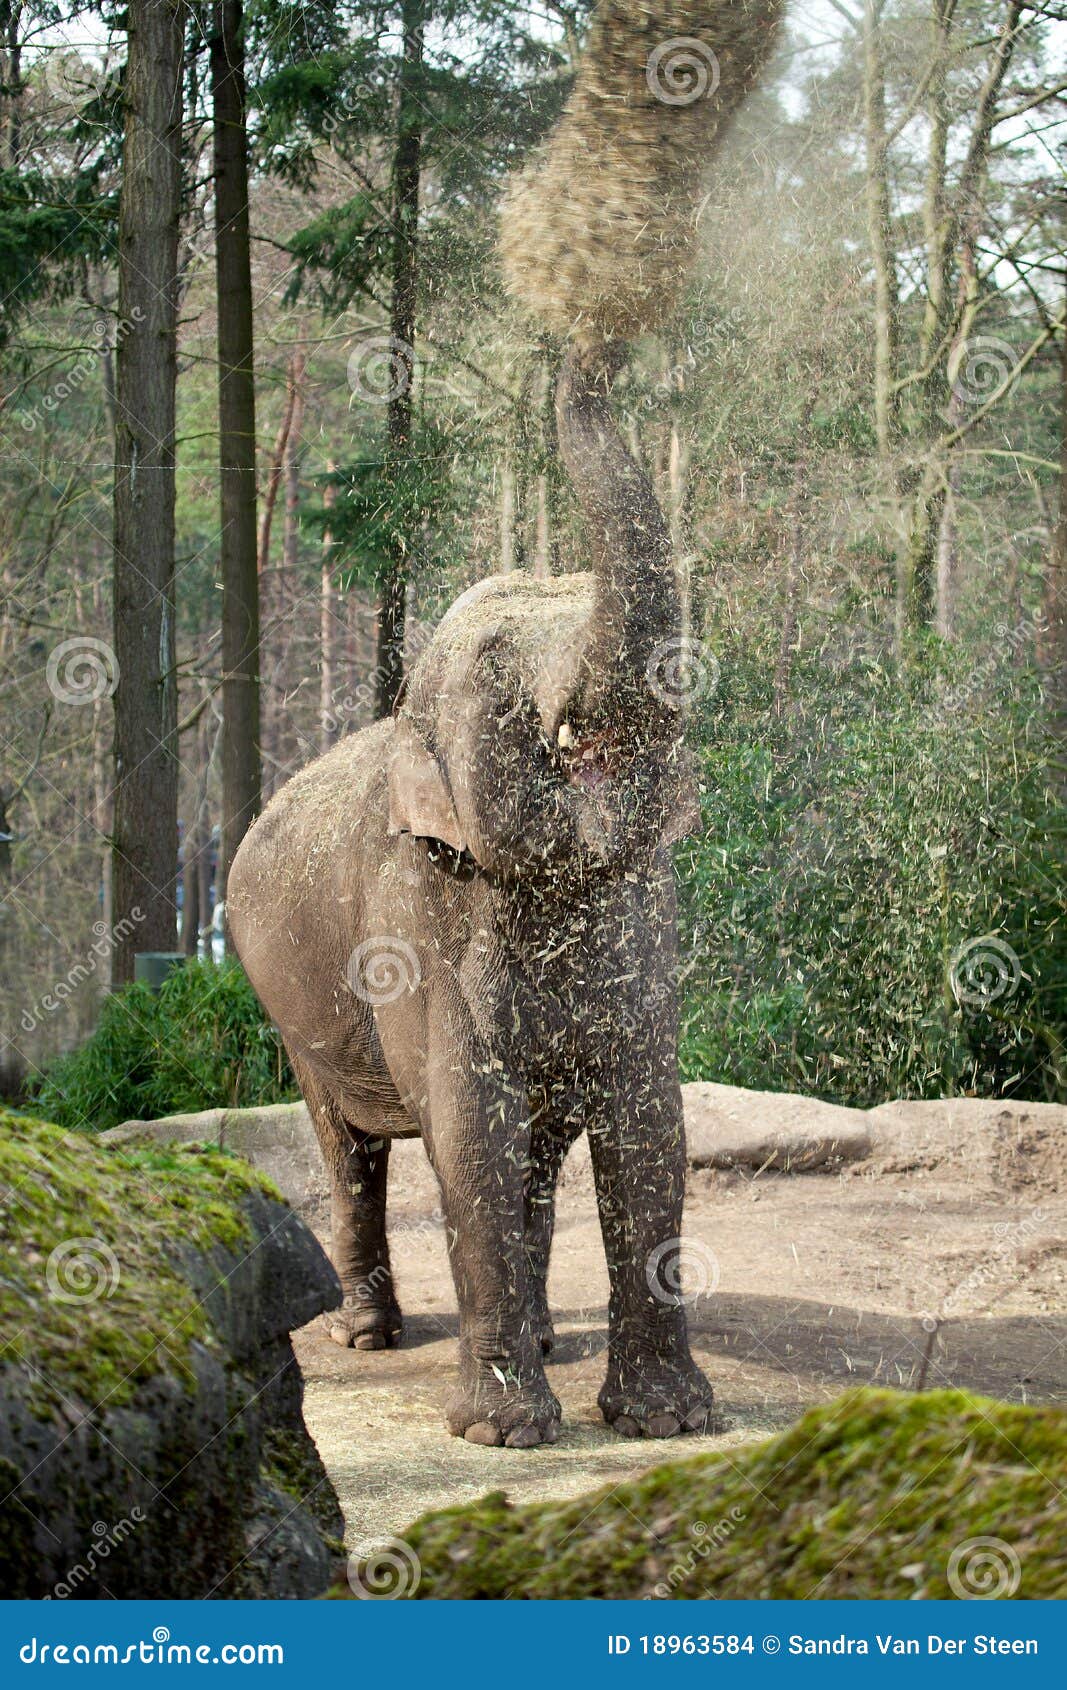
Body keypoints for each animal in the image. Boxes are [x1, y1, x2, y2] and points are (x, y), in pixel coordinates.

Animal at [227, 341, 717, 1448]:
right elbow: (467, 1131)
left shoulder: (643, 912)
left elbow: (649, 1126)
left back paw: (538, 1339)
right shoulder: (418, 914)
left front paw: (664, 1421)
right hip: (294, 1008)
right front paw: (502, 1433)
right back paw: (367, 1334)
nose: (593, 345)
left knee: (536, 1157)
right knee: (348, 1146)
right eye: (497, 665)